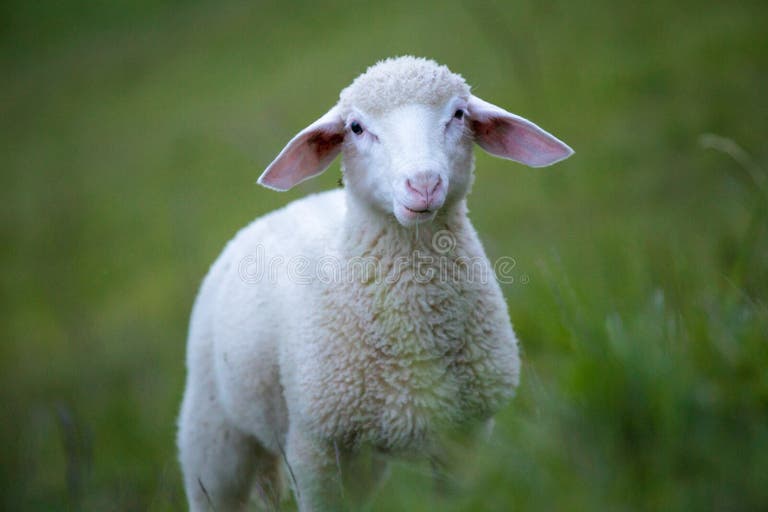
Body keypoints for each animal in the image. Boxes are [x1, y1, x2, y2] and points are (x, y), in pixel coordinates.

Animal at [177, 56, 573, 511]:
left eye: (458, 114)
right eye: (356, 128)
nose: (423, 184)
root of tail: (281, 210)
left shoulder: (464, 440)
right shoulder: (314, 449)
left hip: (361, 462)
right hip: (212, 436)